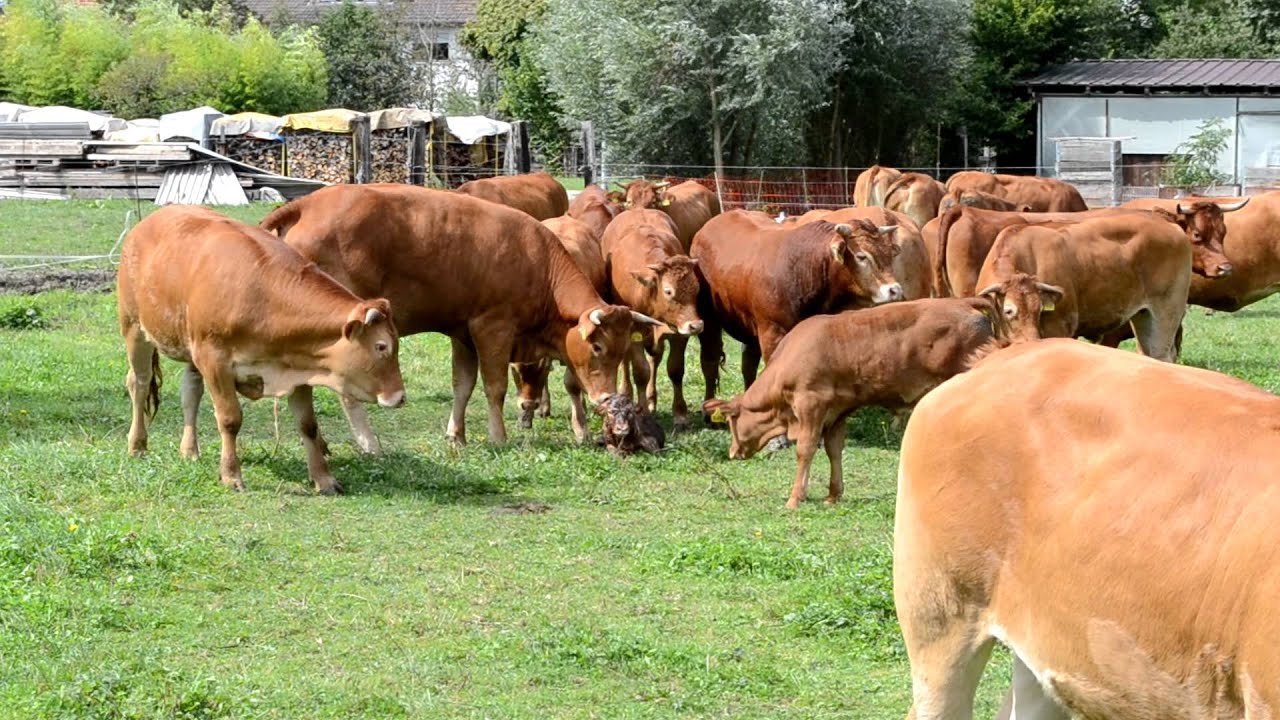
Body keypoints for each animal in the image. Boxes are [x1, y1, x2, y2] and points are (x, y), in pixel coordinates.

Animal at [117, 205, 406, 494]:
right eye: (381, 346)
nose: (400, 397)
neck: (263, 296)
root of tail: (148, 222)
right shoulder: (215, 361)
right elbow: (230, 419)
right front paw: (231, 475)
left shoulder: (299, 366)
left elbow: (308, 424)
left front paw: (324, 479)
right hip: (134, 328)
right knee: (139, 383)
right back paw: (137, 444)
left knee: (190, 390)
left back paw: (189, 449)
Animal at [600, 209, 703, 429]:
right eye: (669, 291)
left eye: (697, 289)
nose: (696, 325)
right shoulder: (634, 333)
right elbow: (640, 372)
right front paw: (644, 414)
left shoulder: (678, 333)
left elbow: (675, 370)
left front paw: (680, 414)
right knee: (626, 361)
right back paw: (627, 394)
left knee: (655, 360)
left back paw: (651, 399)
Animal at [687, 210, 903, 411]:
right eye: (862, 256)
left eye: (889, 255)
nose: (895, 290)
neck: (804, 268)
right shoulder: (772, 334)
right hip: (710, 321)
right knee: (710, 360)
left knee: (748, 363)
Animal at [703, 297, 1005, 509]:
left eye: (730, 421)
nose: (732, 452)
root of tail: (963, 302)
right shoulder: (836, 411)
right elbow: (834, 450)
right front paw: (832, 495)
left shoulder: (810, 404)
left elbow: (805, 450)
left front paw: (794, 498)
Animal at [974, 214, 1194, 361]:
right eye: (1008, 311)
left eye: (1039, 310)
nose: (1031, 342)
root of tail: (1172, 227)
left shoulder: (1060, 325)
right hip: (1143, 315)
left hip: (1167, 312)